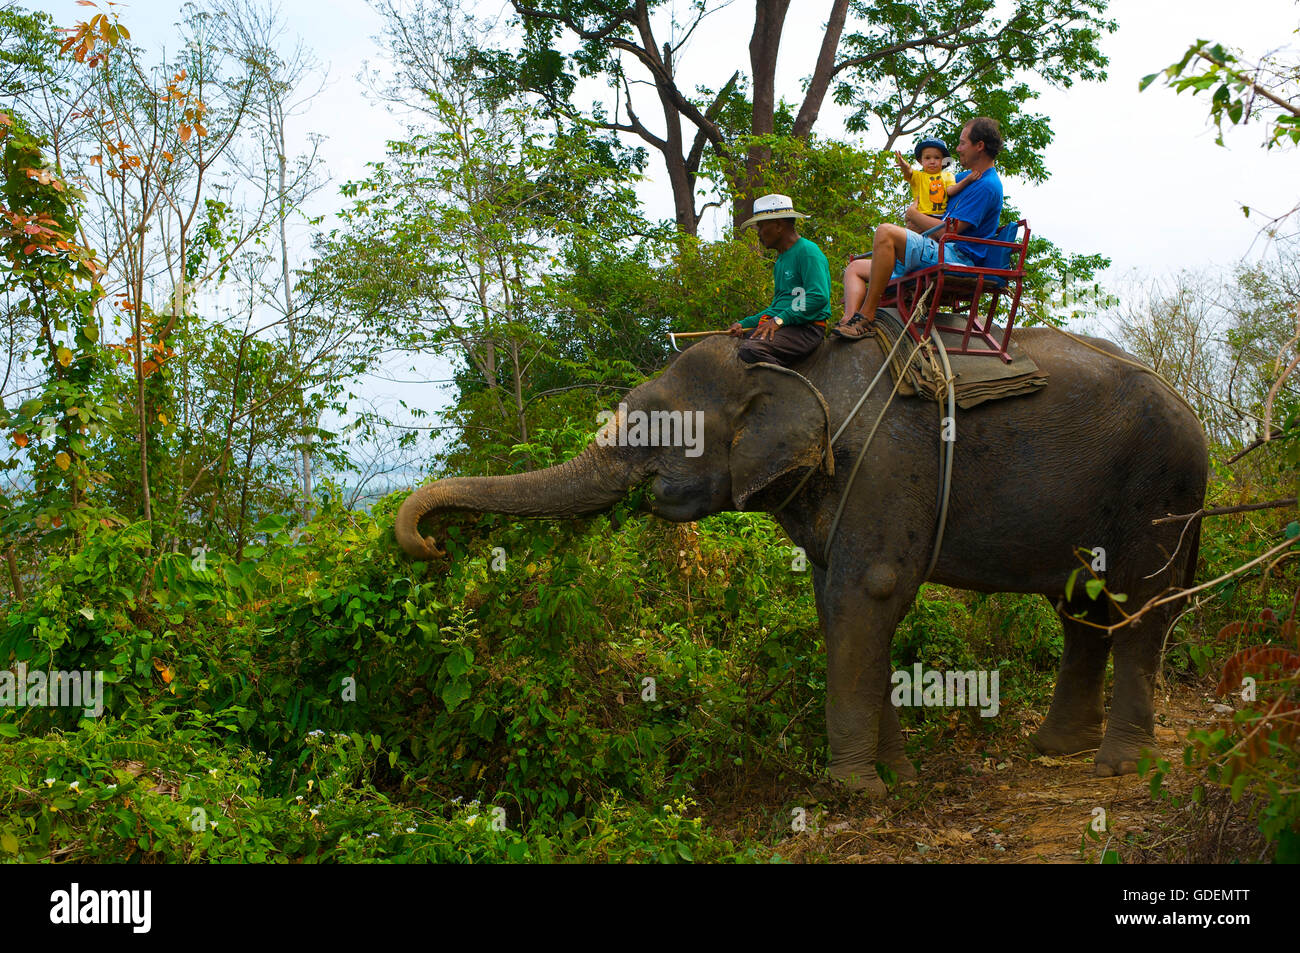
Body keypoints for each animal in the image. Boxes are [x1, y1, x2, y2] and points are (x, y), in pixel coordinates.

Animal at [395, 327, 1208, 796]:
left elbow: (869, 592)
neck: (788, 367)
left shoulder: (883, 463)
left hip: (1161, 489)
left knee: (1142, 603)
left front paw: (852, 792)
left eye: (658, 426)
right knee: (1083, 608)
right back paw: (1054, 747)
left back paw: (1119, 766)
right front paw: (895, 778)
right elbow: (835, 603)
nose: (432, 543)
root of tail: (1192, 407)